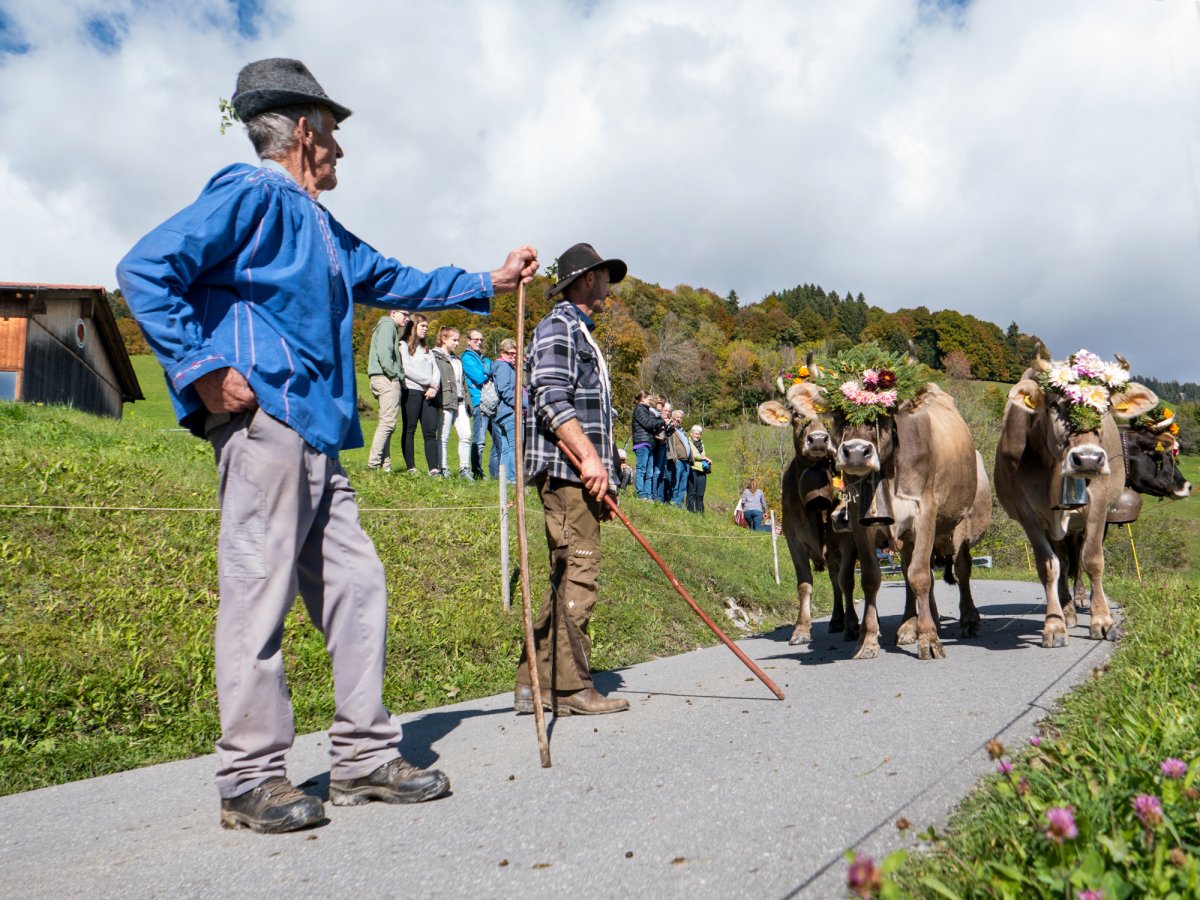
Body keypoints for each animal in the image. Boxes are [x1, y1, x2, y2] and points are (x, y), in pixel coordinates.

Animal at [789, 380, 986, 660]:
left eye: (883, 414)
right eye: (838, 415)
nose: (856, 452)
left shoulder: (926, 512)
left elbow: (920, 576)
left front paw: (929, 639)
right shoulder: (860, 524)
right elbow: (871, 578)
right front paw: (869, 641)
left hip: (959, 520)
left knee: (961, 568)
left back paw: (968, 620)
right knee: (908, 571)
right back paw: (908, 627)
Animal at [993, 358, 1158, 648]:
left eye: (1106, 406)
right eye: (1053, 405)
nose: (1089, 459)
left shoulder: (1098, 501)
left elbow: (1092, 559)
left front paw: (1102, 621)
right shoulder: (1028, 514)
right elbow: (1049, 567)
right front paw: (1055, 625)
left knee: (1078, 558)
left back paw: (1081, 599)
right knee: (1063, 560)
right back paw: (1068, 611)